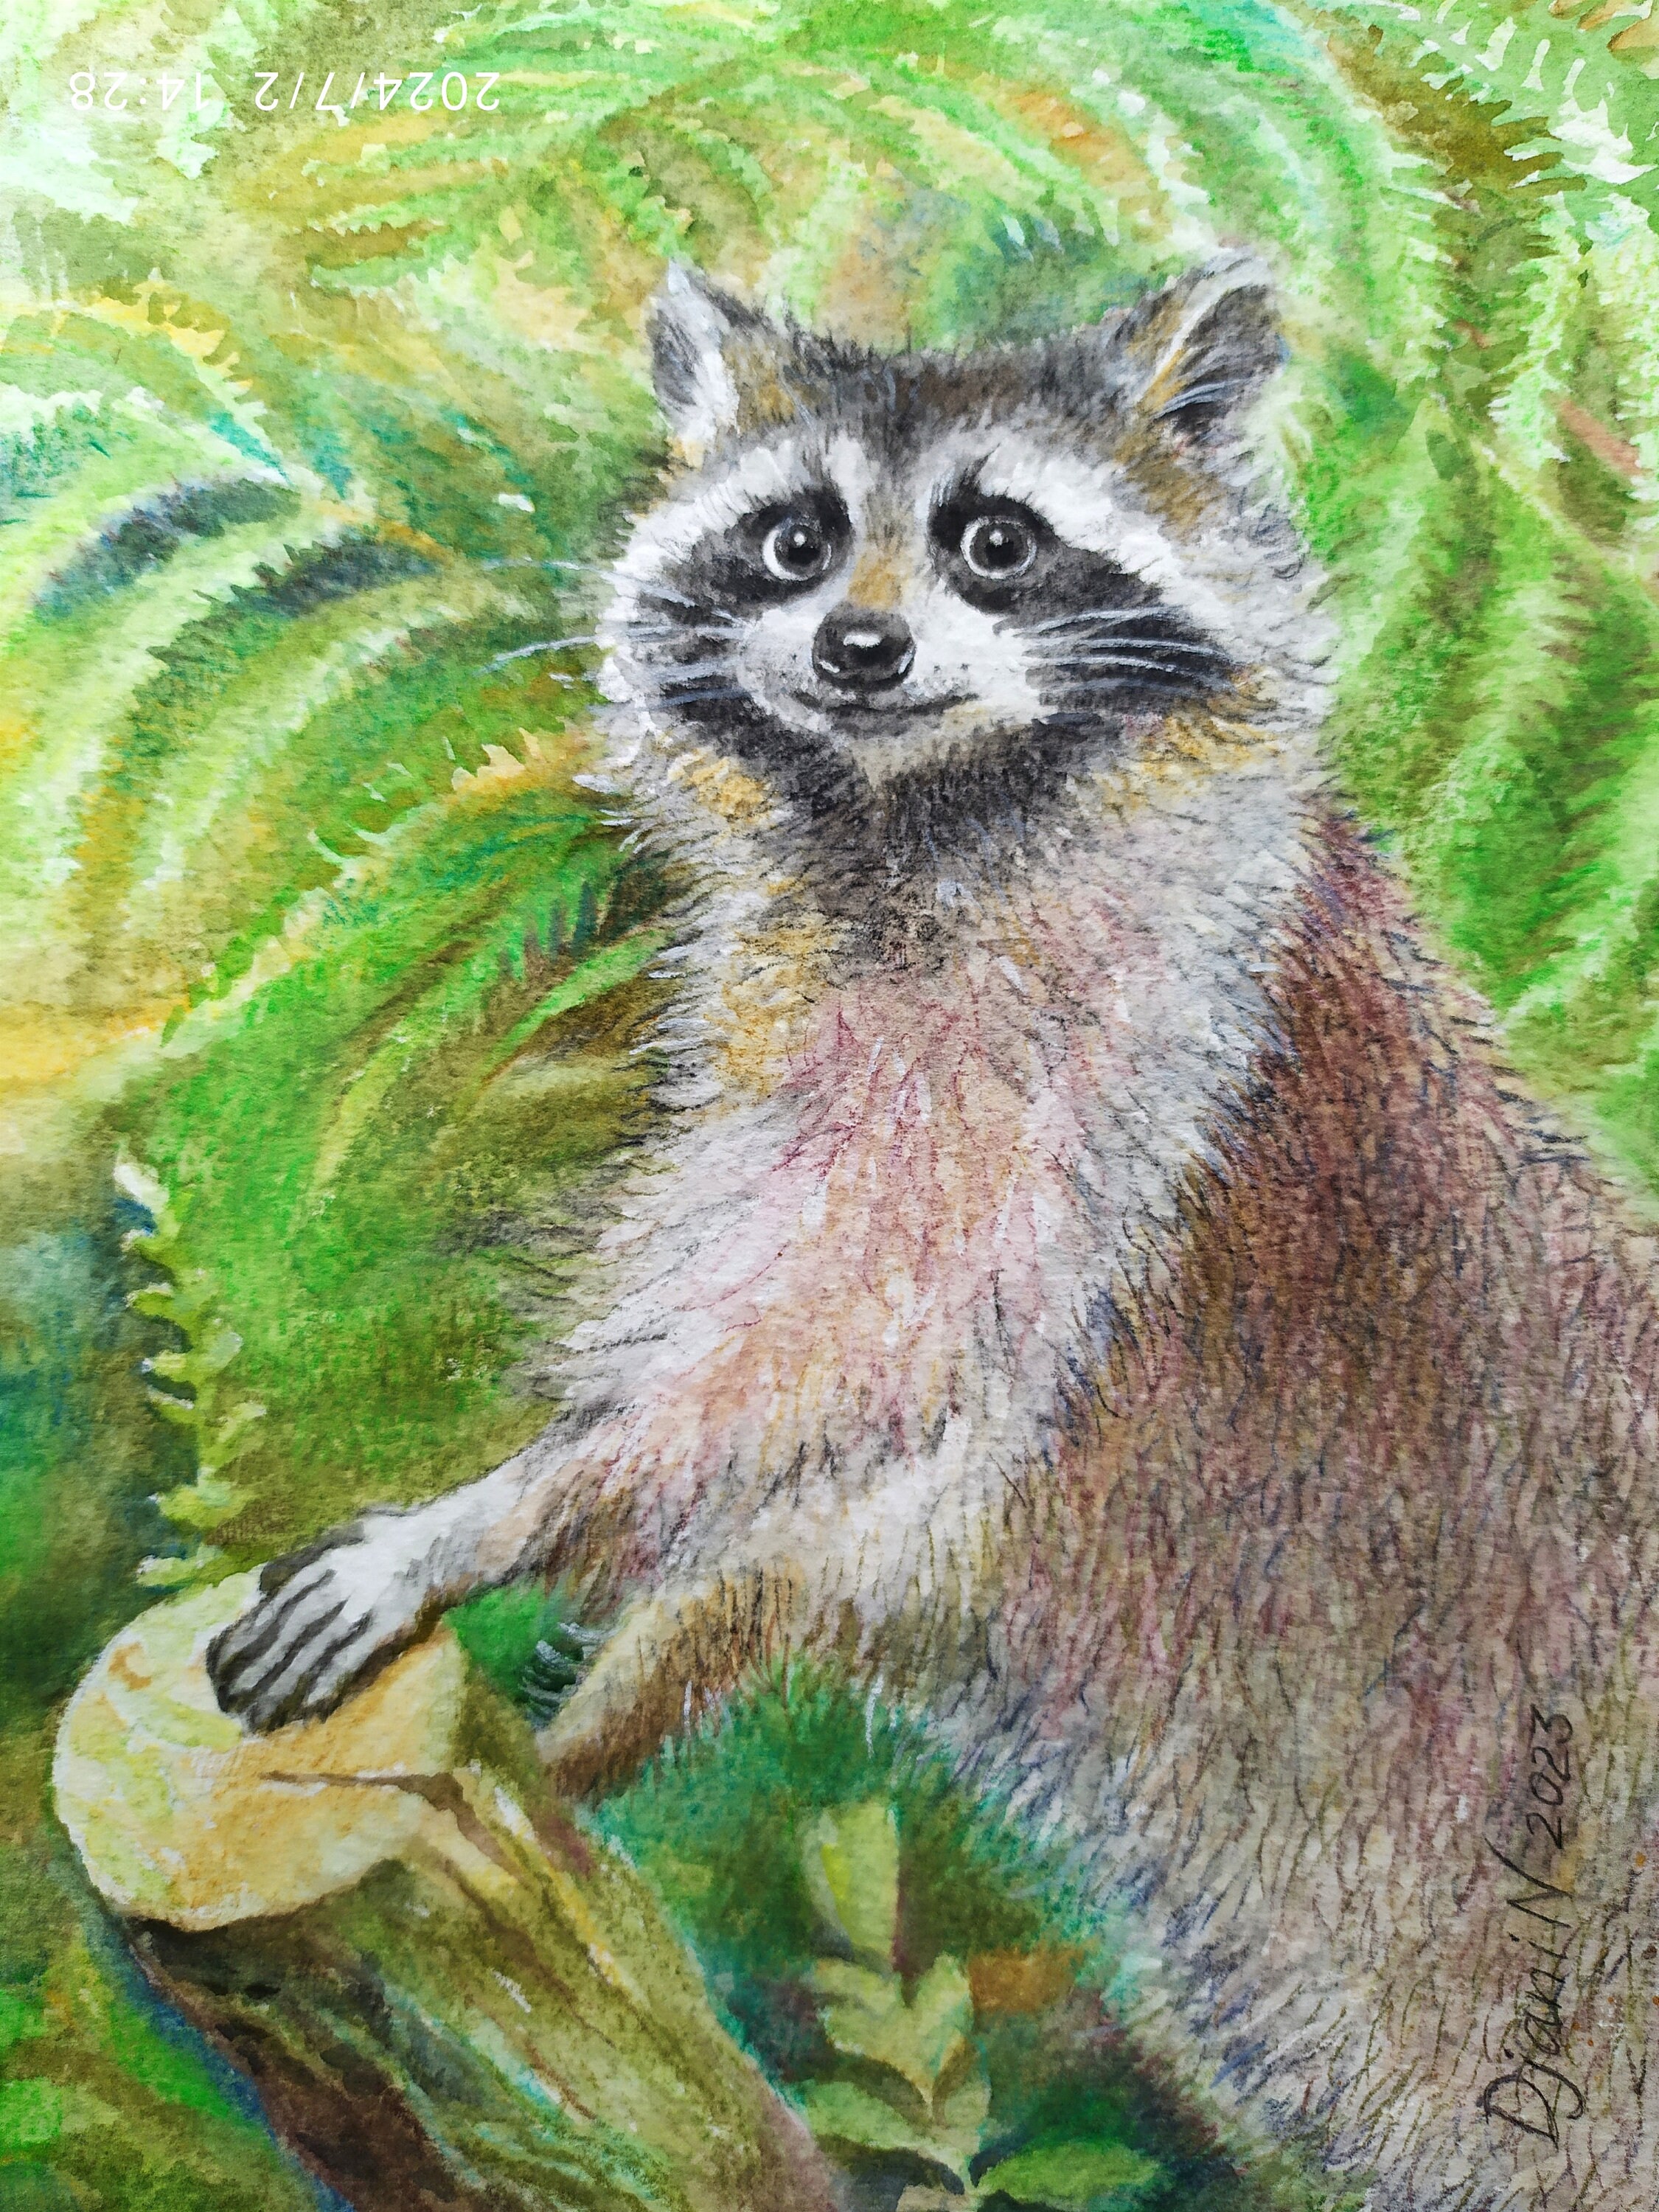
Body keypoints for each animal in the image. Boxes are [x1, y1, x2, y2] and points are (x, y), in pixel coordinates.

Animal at [209, 260, 1659, 2207]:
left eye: (994, 540)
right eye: (793, 540)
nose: (860, 650)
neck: (915, 815)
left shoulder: (1090, 1103)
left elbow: (834, 1368)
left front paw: (492, 1521)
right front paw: (586, 1689)